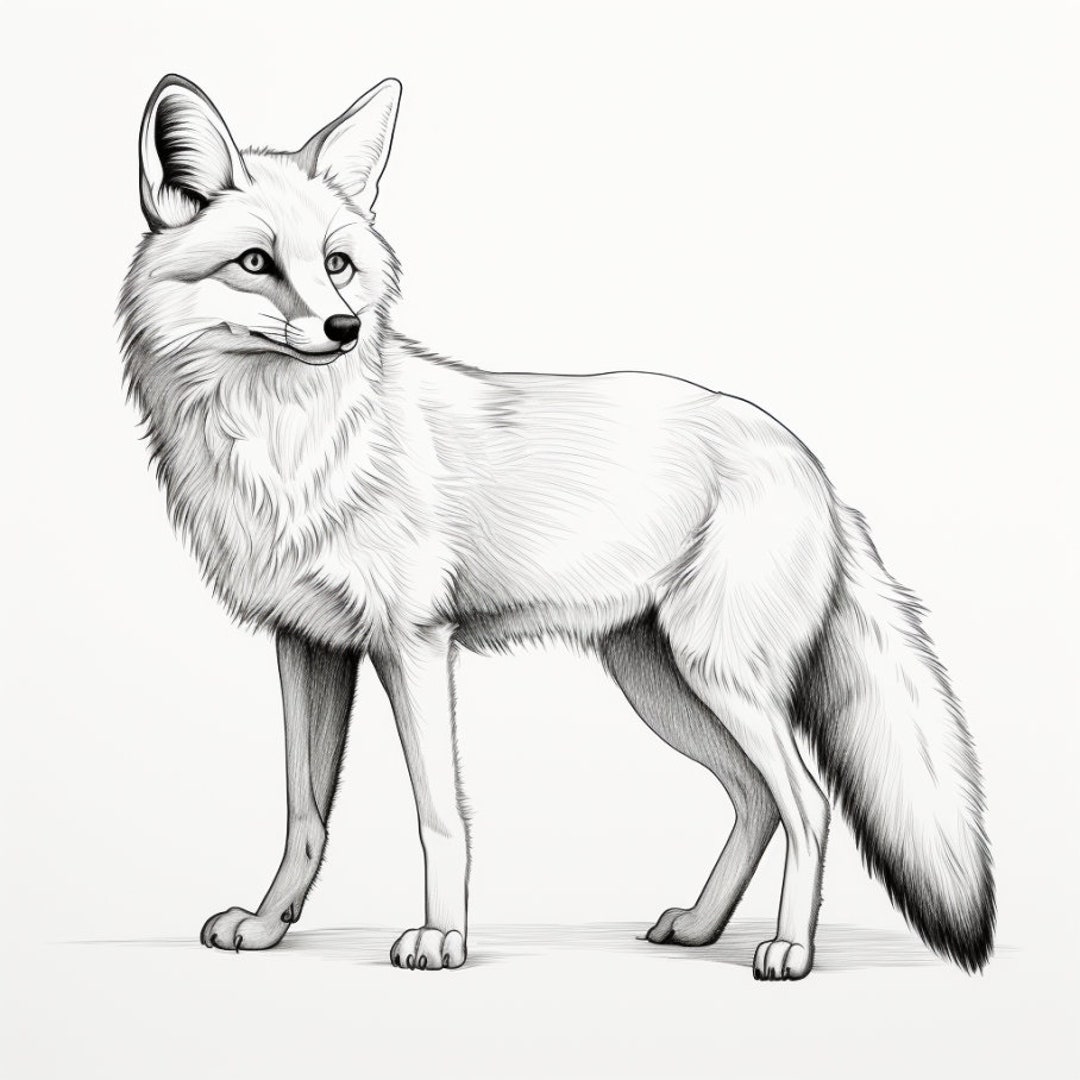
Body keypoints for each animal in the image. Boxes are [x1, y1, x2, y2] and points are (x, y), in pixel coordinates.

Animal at [120, 74, 994, 980]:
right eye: (256, 263)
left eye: (337, 264)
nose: (344, 330)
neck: (292, 449)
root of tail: (818, 472)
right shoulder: (308, 645)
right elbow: (305, 815)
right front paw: (267, 927)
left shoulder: (414, 642)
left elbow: (439, 815)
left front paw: (443, 939)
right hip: (662, 682)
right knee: (757, 799)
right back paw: (701, 926)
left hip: (719, 674)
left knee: (810, 805)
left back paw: (790, 947)